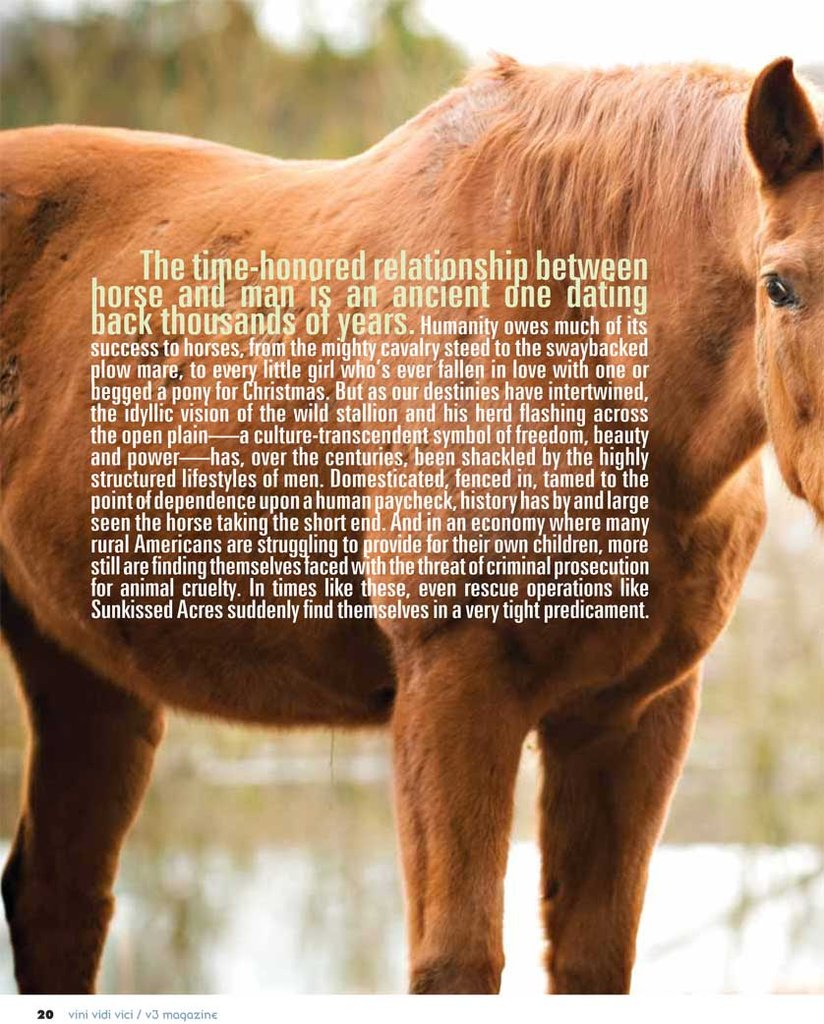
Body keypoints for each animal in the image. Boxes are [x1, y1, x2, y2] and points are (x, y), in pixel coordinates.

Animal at [0, 55, 821, 995]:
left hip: (81, 662)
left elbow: (593, 960)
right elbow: (456, 959)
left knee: (60, 898)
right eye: (778, 285)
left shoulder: (634, 711)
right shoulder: (452, 680)